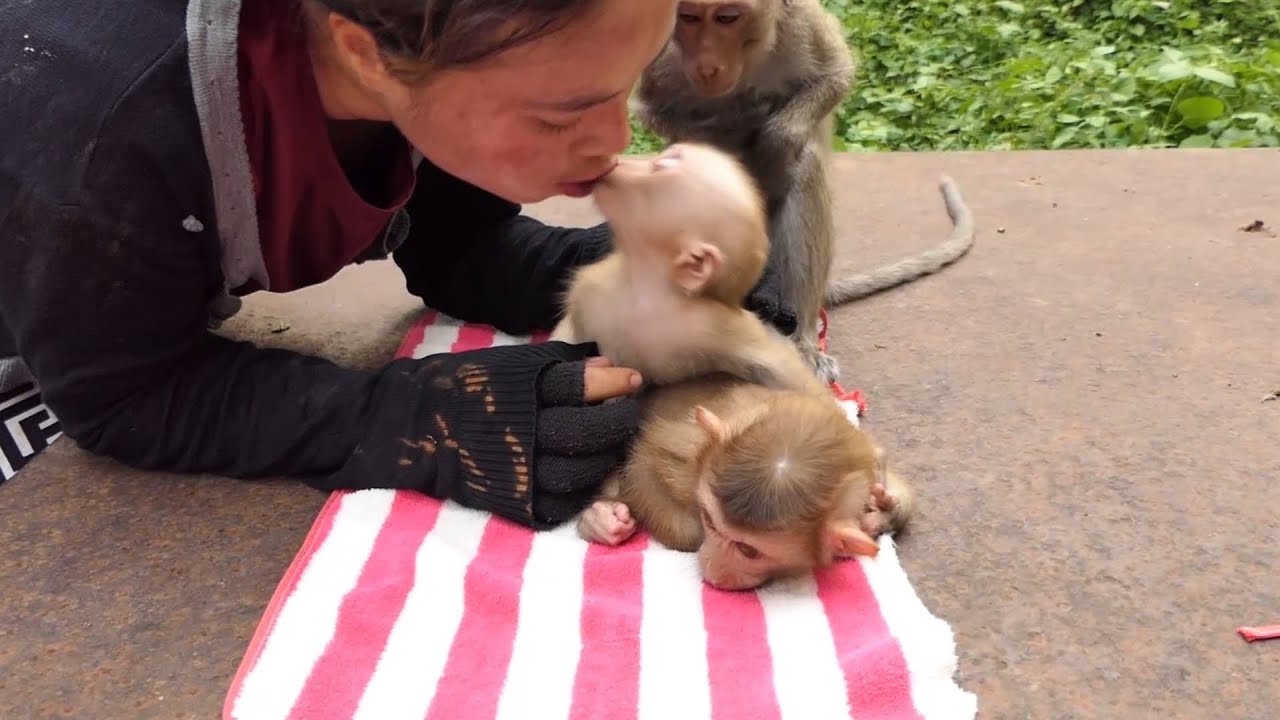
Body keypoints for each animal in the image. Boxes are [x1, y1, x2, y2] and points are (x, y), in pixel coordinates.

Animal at [575, 372, 914, 591]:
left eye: (749, 551)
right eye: (710, 522)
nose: (712, 569)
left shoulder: (866, 455)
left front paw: (883, 511)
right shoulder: (690, 450)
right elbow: (644, 462)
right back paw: (601, 517)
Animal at [632, 0, 977, 385]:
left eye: (727, 18)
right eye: (688, 18)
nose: (707, 65)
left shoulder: (799, 19)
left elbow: (835, 75)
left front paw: (773, 143)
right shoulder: (662, 56)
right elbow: (652, 112)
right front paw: (728, 132)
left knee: (805, 165)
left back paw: (803, 339)